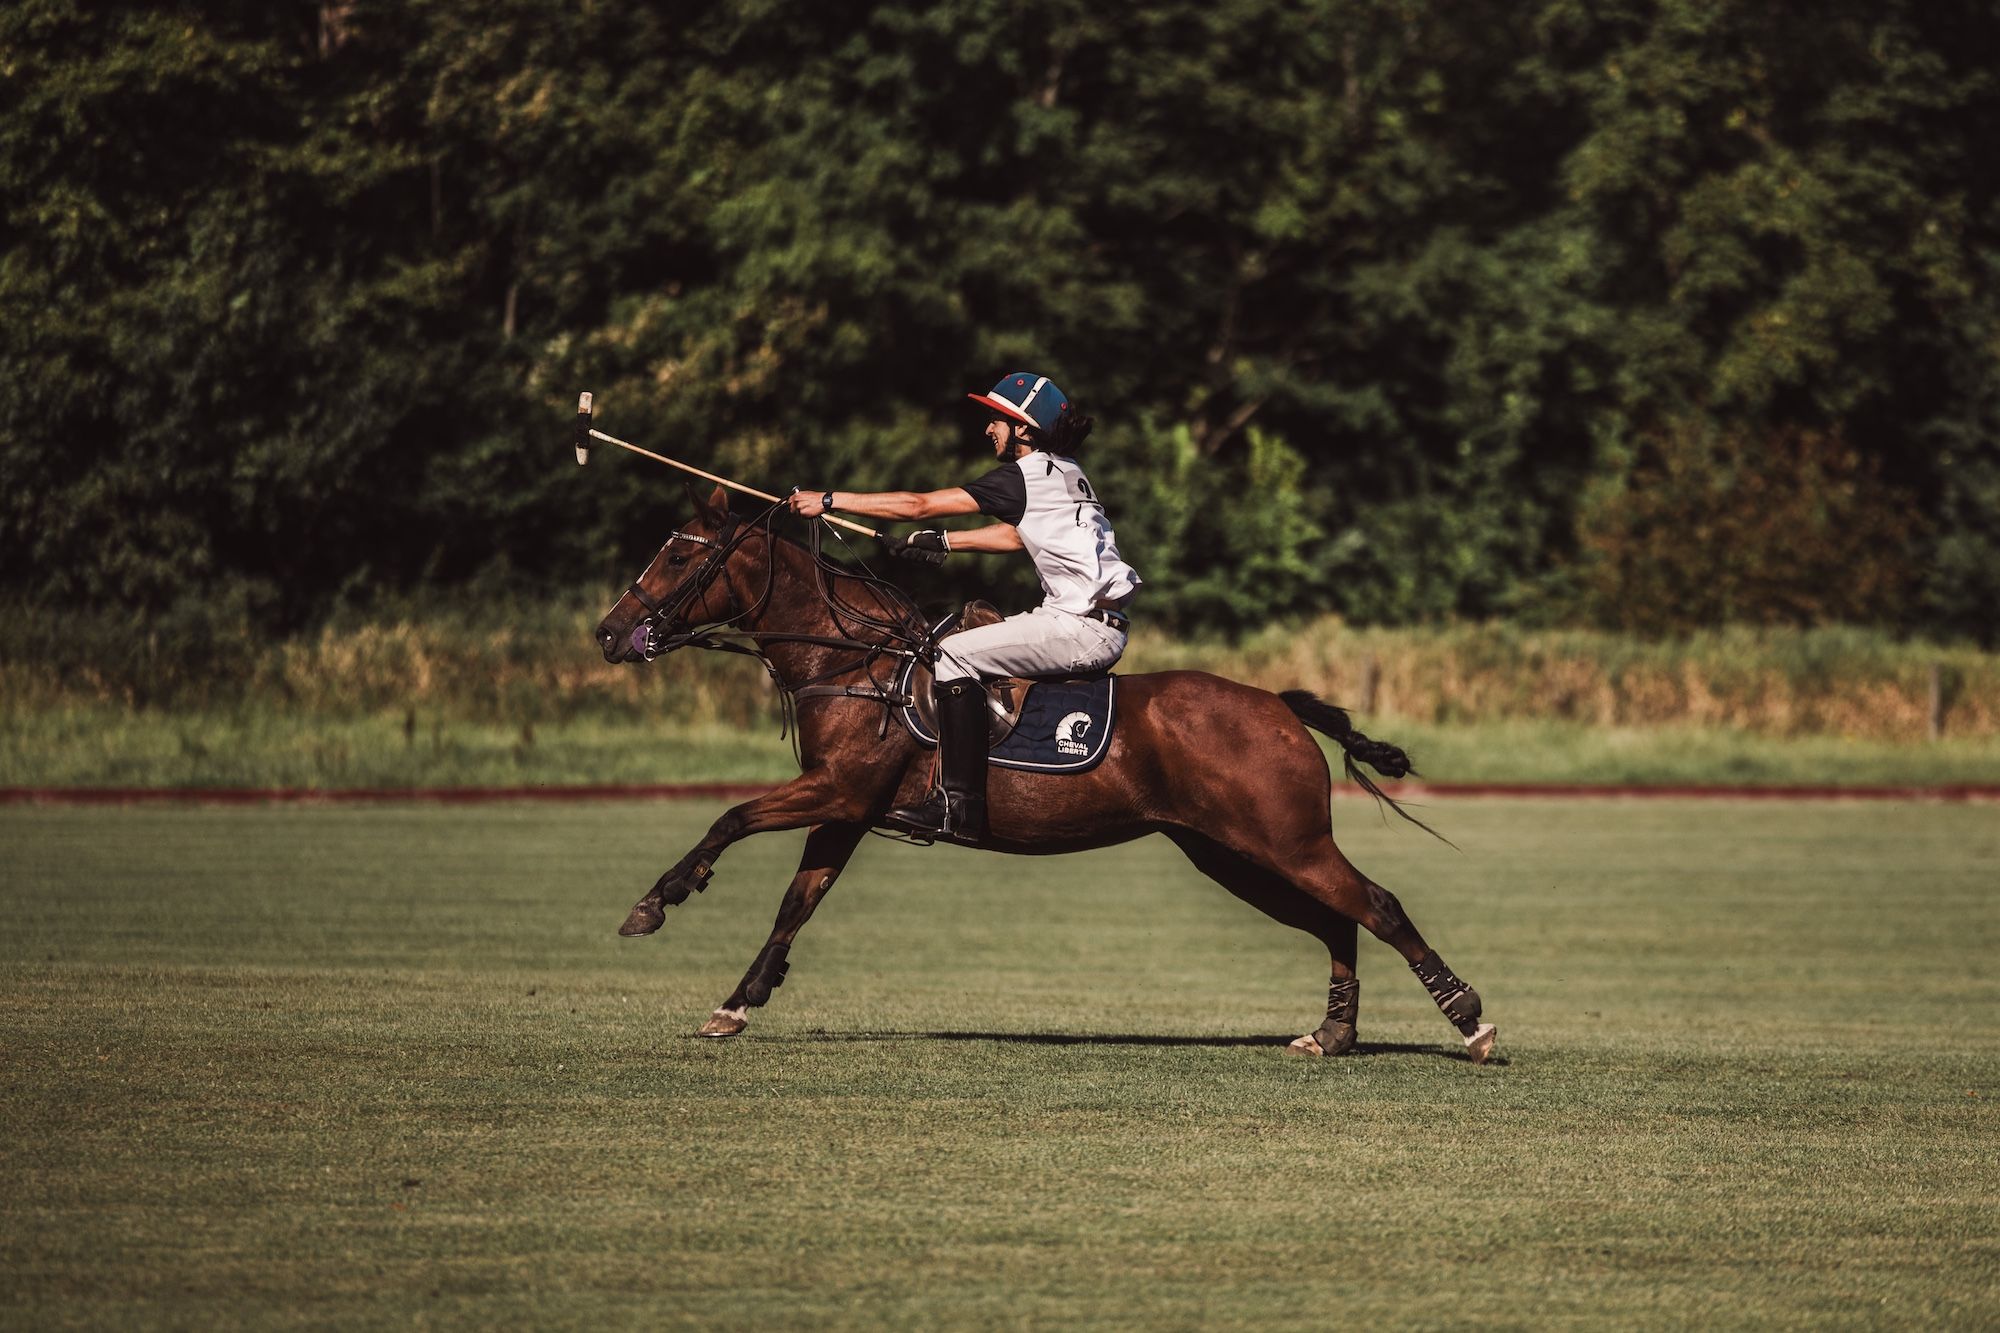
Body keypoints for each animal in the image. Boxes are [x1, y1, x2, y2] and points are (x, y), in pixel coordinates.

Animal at [594, 485, 1496, 1063]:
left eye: (679, 555)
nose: (607, 632)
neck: (851, 661)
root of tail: (1277, 703)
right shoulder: (846, 808)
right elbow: (796, 902)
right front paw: (736, 1002)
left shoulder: (839, 789)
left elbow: (730, 817)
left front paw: (656, 901)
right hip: (1232, 849)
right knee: (1338, 917)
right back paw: (1334, 1032)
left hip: (1283, 838)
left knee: (1377, 903)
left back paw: (1469, 1020)